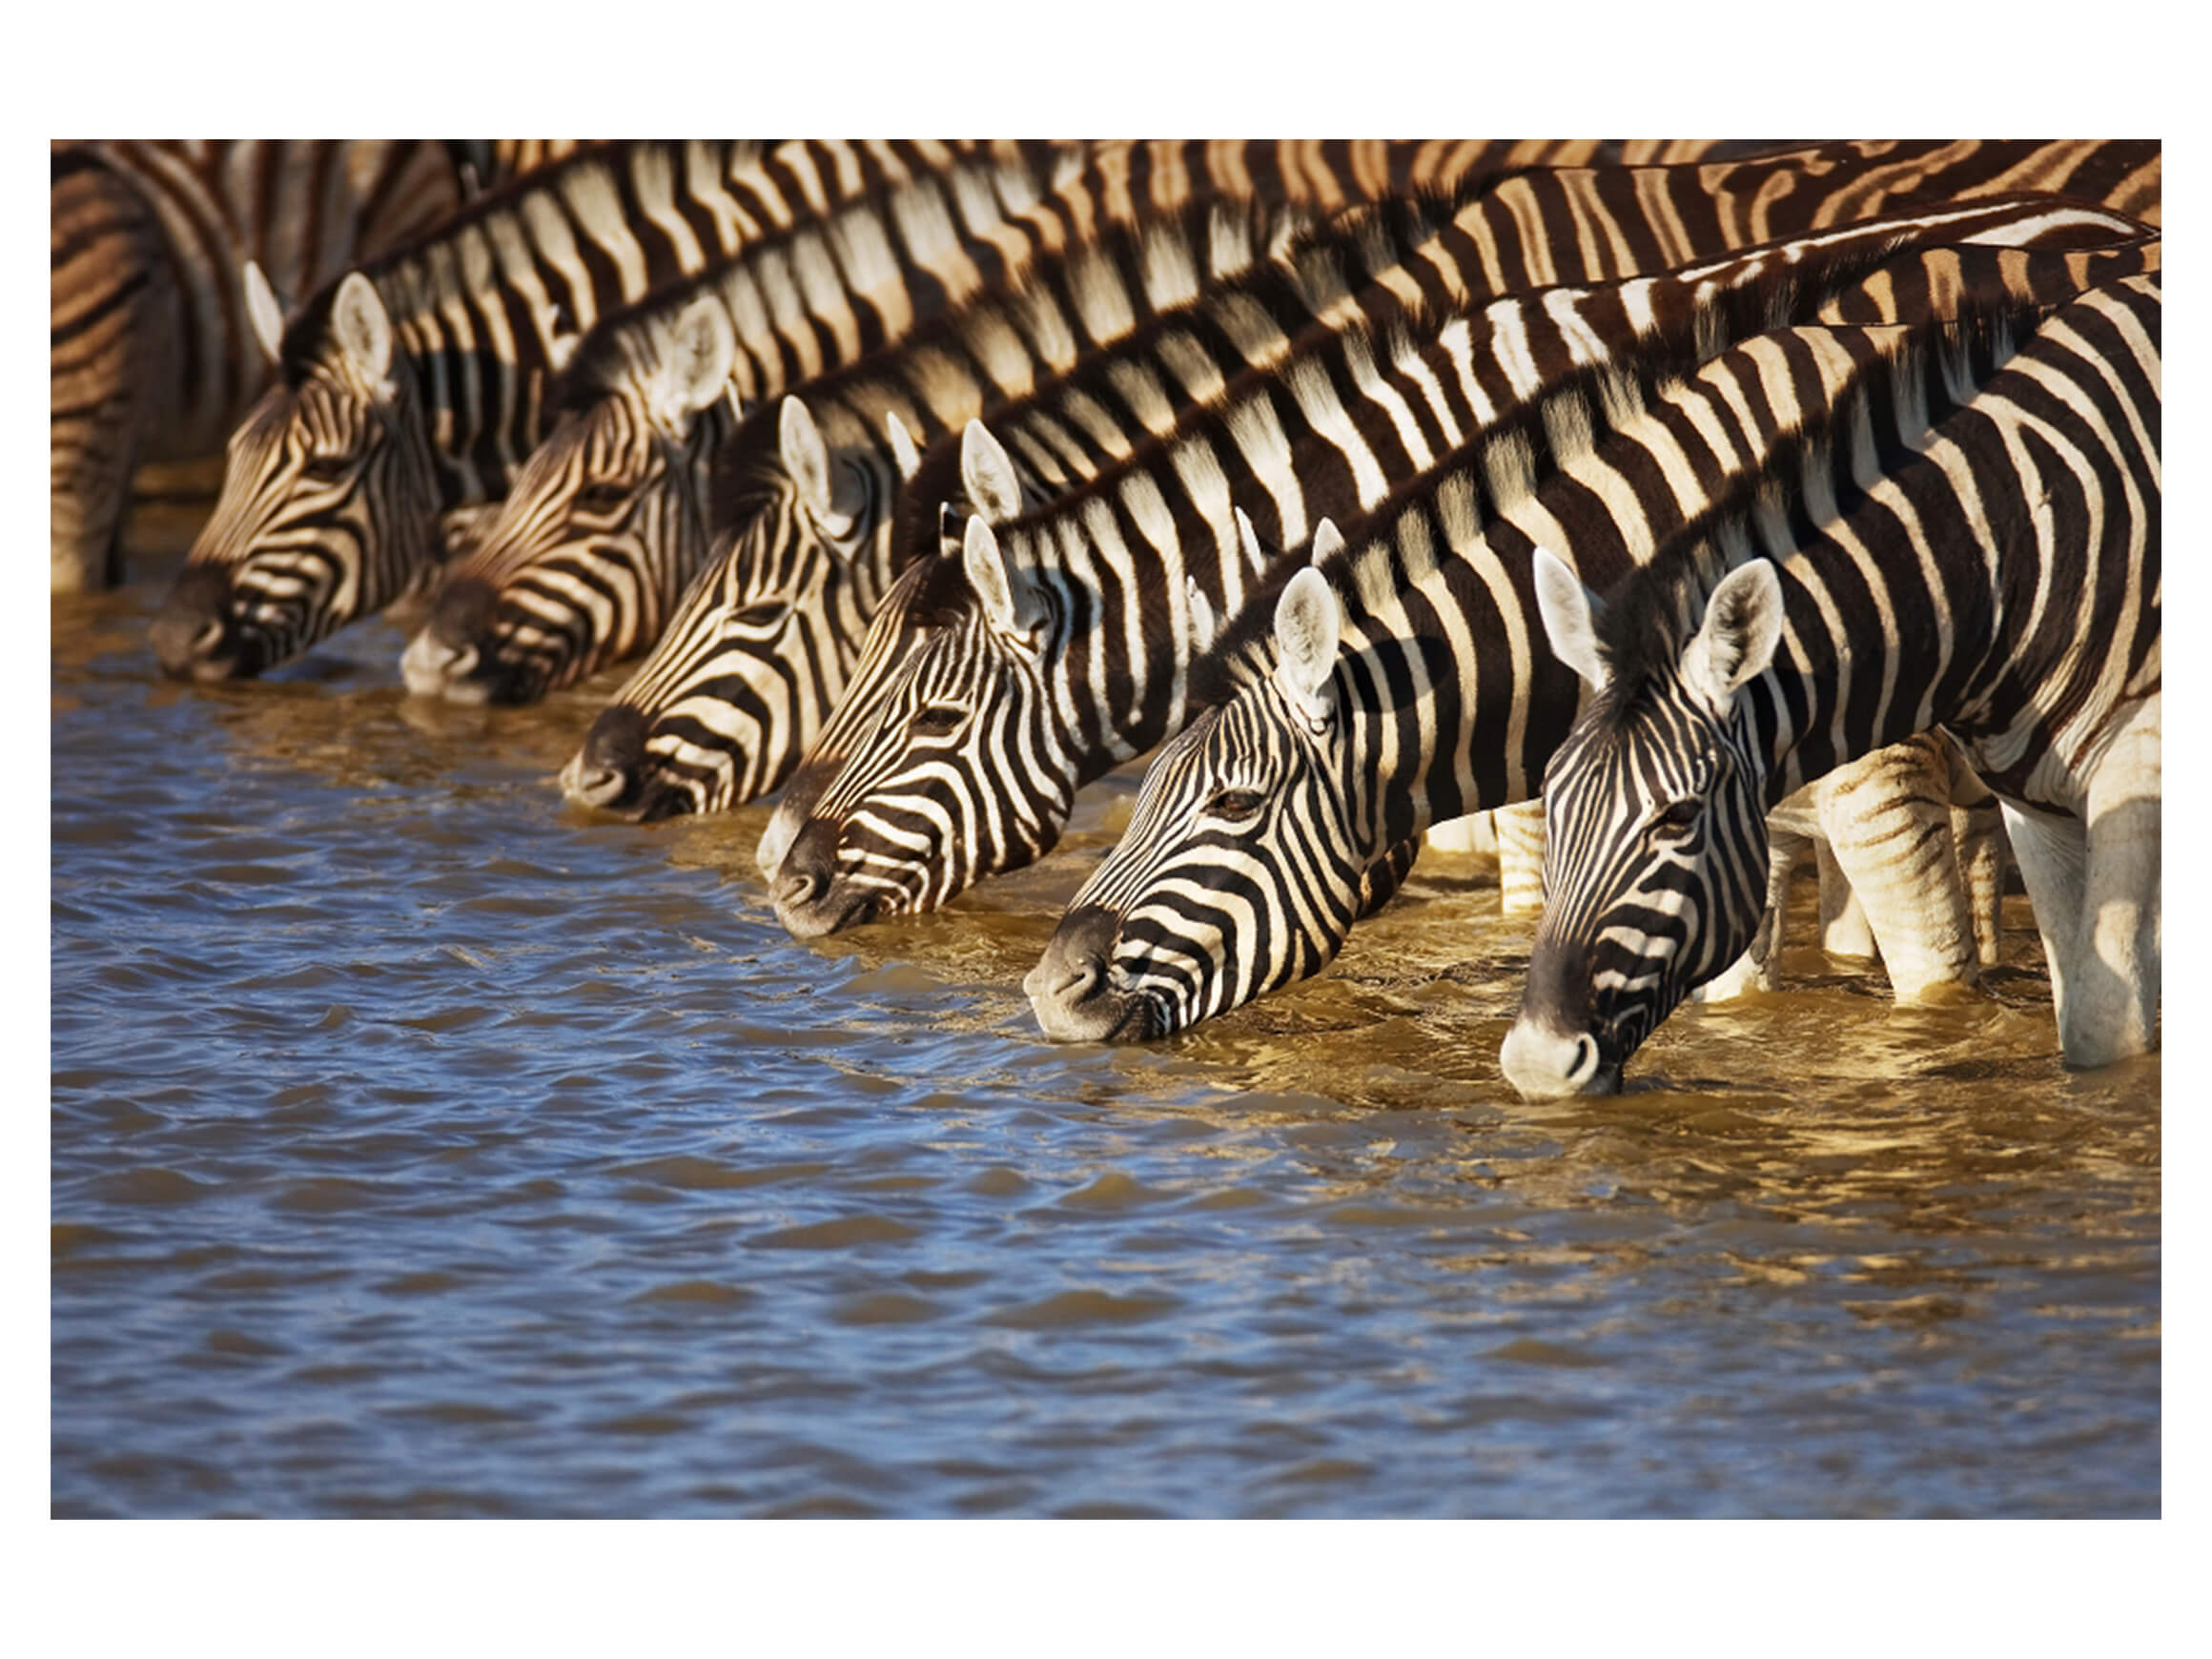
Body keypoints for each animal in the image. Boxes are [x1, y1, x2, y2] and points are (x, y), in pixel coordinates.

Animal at [1500, 274, 2158, 1094]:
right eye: (1552, 798)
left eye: (1678, 818)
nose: (1535, 1063)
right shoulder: (2034, 808)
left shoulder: (2127, 772)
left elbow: (2098, 1024)